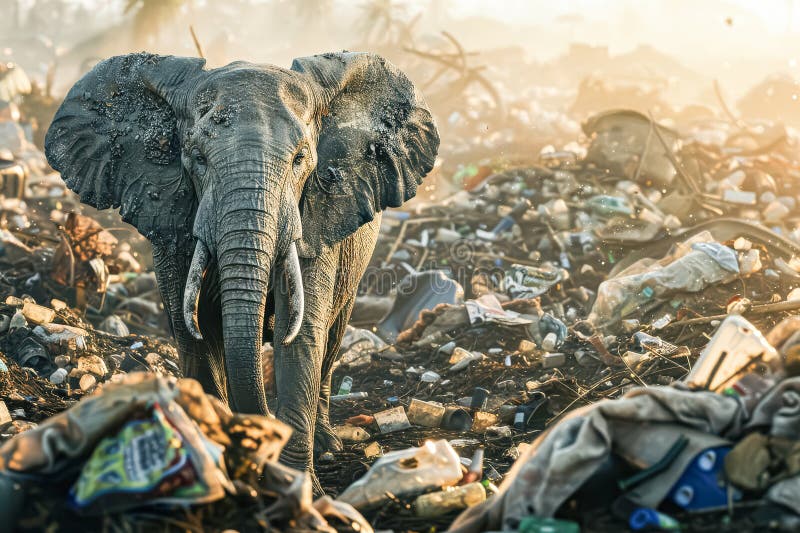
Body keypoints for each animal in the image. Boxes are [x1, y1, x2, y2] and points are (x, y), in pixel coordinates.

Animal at [44, 51, 439, 488]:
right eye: (197, 158)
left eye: (301, 159)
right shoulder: (172, 219)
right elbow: (195, 330)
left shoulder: (317, 217)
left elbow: (300, 334)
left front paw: (299, 487)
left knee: (333, 338)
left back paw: (326, 445)